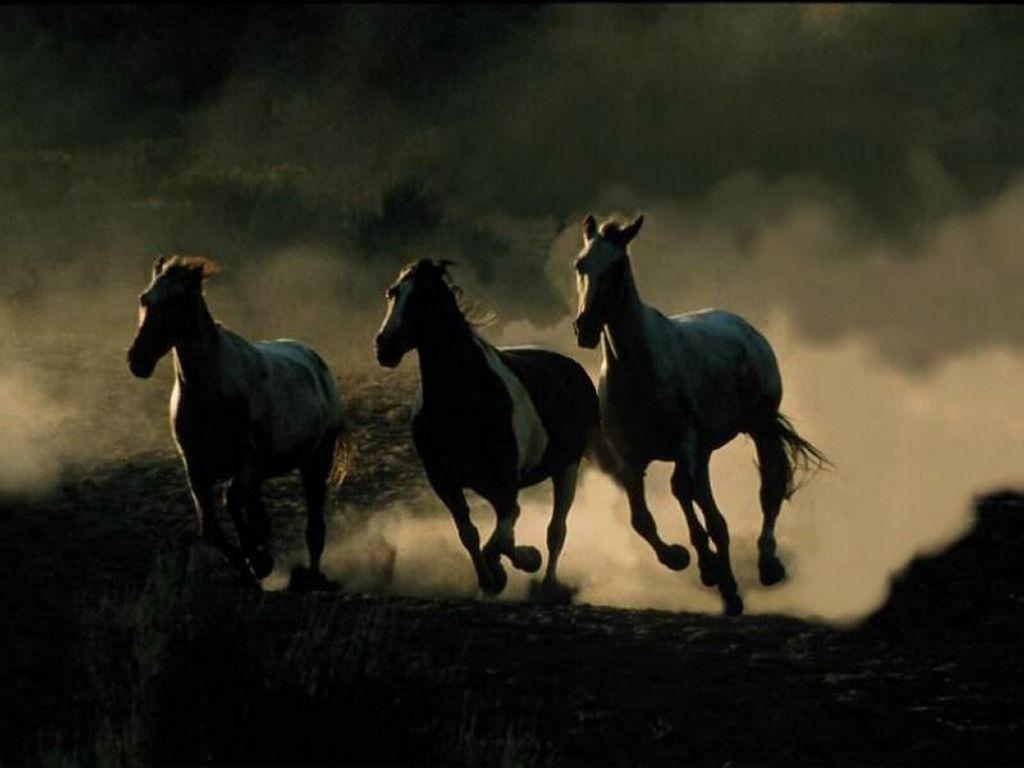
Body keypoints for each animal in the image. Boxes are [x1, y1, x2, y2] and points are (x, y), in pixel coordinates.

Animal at [127, 255, 352, 589]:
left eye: (179, 300)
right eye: (145, 298)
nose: (138, 360)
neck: (210, 391)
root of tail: (316, 361)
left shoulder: (246, 459)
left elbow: (232, 500)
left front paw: (258, 561)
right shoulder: (196, 466)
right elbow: (211, 527)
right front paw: (251, 567)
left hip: (315, 462)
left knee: (314, 528)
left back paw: (310, 577)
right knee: (258, 512)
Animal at [375, 259, 599, 601]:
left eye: (424, 296)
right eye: (393, 292)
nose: (385, 346)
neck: (466, 399)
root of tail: (573, 368)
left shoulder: (505, 482)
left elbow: (500, 538)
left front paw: (520, 564)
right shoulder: (445, 482)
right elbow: (472, 534)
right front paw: (489, 580)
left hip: (567, 469)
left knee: (556, 531)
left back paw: (548, 585)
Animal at [572, 214, 829, 615]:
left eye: (616, 267)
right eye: (580, 264)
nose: (584, 327)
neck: (638, 371)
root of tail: (745, 327)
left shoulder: (685, 446)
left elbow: (687, 496)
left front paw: (710, 567)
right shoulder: (631, 459)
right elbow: (642, 519)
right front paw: (683, 559)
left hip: (758, 428)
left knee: (766, 490)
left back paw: (766, 566)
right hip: (705, 450)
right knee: (700, 499)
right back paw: (724, 581)